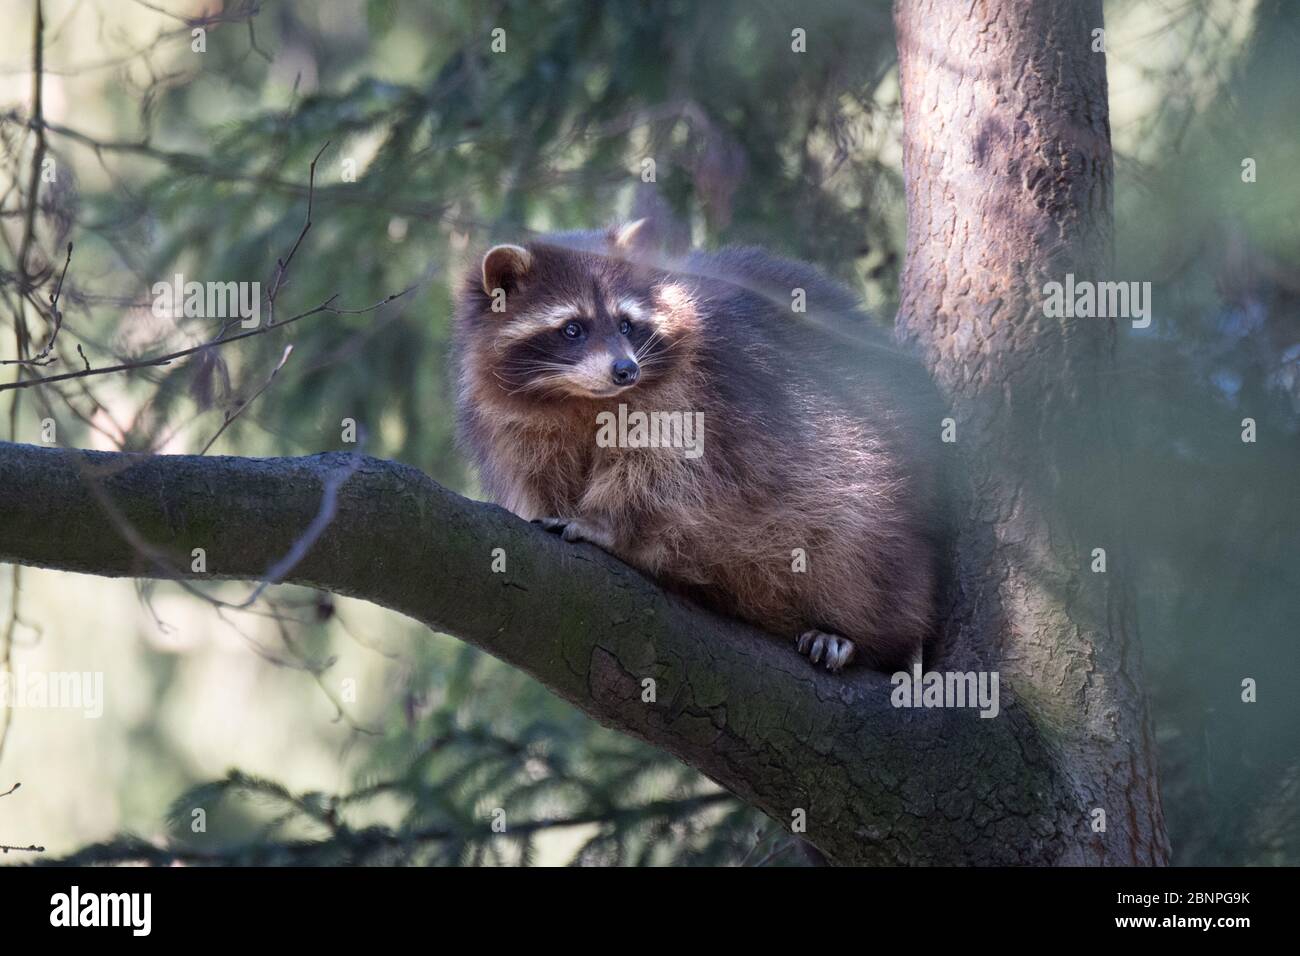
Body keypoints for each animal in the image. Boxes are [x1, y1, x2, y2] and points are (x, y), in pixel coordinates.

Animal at [452, 220, 946, 672]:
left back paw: (855, 632)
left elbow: (671, 478)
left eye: (627, 324)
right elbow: (537, 471)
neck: (581, 400)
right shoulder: (516, 425)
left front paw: (608, 523)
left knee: (854, 535)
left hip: (876, 497)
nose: (625, 370)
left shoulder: (700, 399)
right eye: (572, 328)